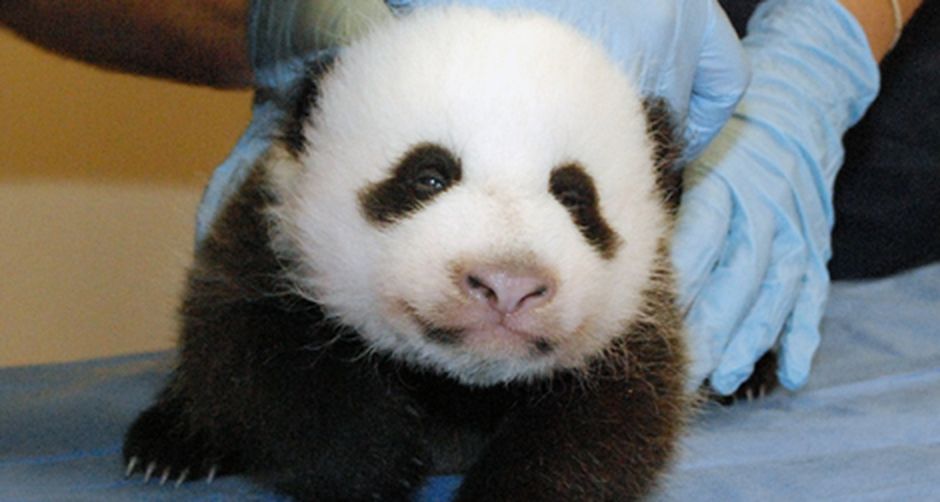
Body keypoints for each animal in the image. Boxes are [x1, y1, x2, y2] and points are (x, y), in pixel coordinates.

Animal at [123, 6, 691, 501]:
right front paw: (374, 460)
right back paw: (169, 445)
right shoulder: (269, 237)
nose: (507, 285)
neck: (461, 383)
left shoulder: (644, 311)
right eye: (429, 177)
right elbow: (253, 351)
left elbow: (613, 417)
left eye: (574, 197)